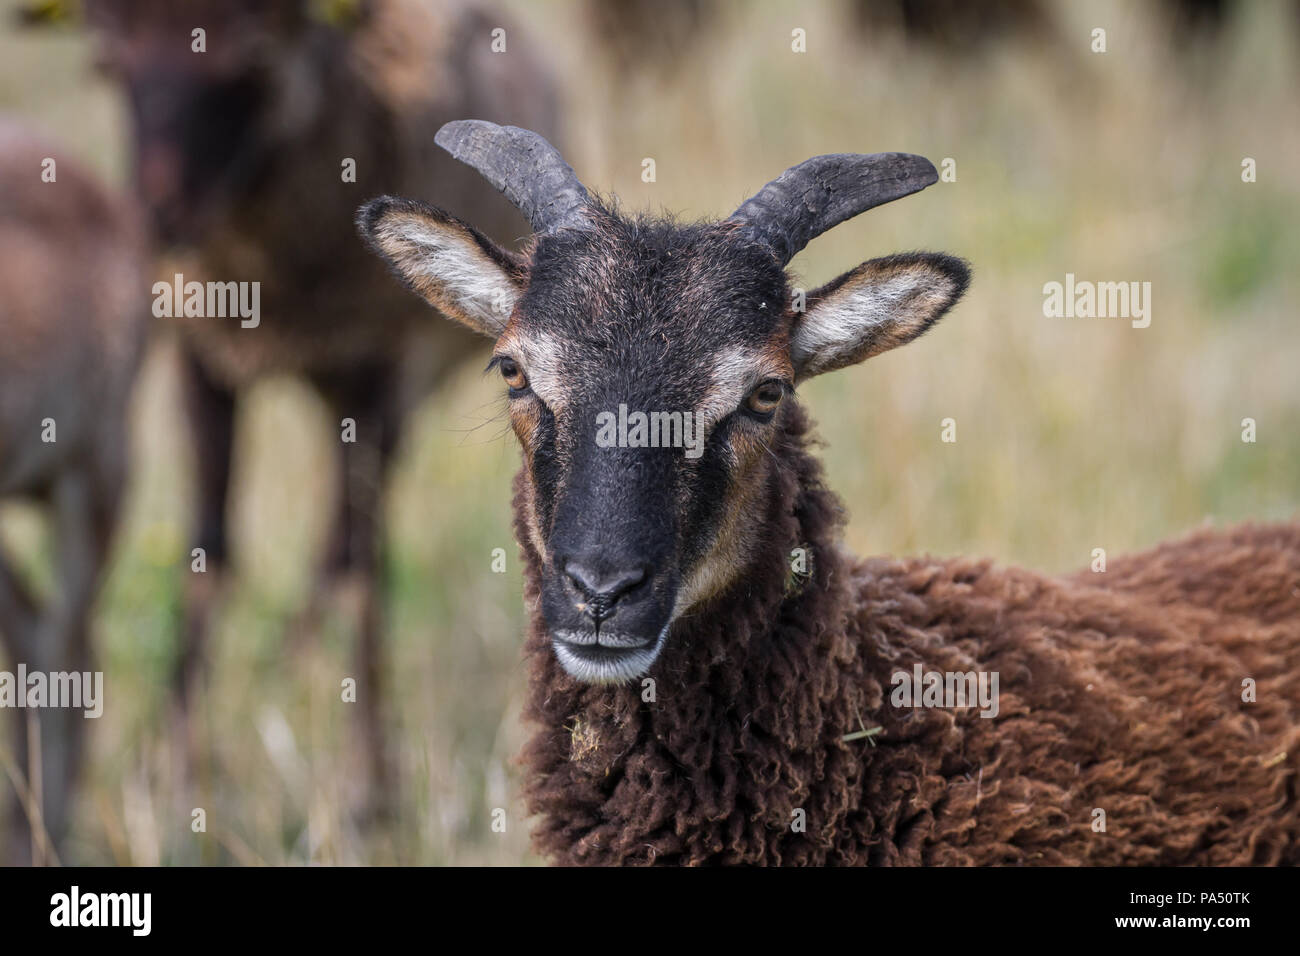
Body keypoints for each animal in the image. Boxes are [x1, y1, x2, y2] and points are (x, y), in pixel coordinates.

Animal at [65, 0, 561, 804]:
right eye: (111, 62)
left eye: (254, 60)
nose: (157, 215)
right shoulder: (205, 359)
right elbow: (210, 550)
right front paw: (177, 773)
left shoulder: (373, 371)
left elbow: (363, 568)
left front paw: (369, 794)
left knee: (344, 541)